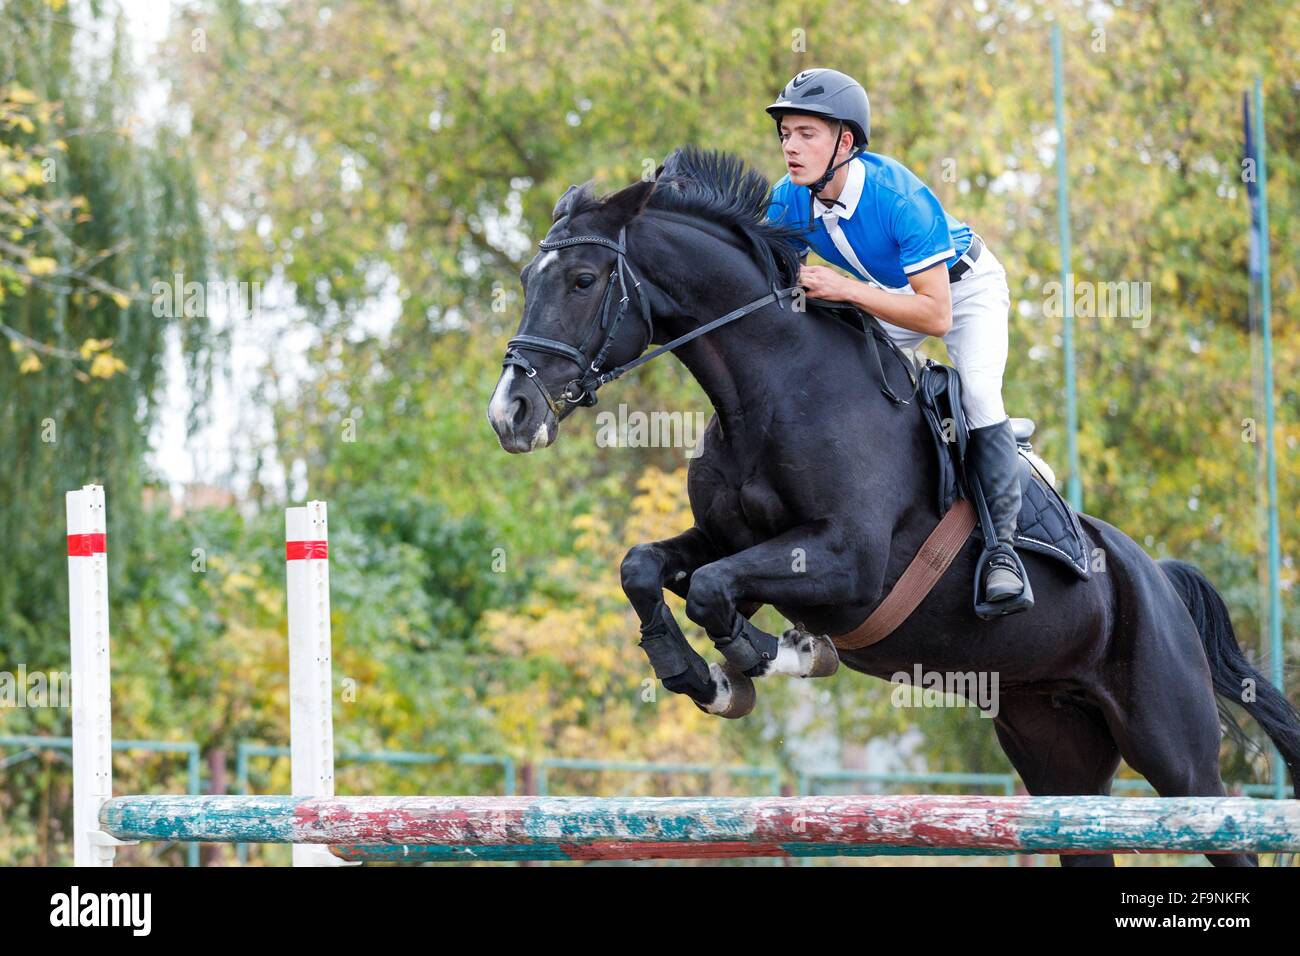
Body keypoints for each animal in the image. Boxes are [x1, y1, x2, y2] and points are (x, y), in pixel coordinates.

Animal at [487, 146, 1299, 866]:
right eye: (528, 278)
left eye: (584, 279)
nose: (510, 414)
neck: (772, 389)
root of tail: (1157, 578)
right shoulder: (724, 536)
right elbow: (645, 568)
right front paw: (703, 677)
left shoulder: (849, 563)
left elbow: (718, 591)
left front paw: (780, 653)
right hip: (1057, 756)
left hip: (1175, 754)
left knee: (1218, 820)